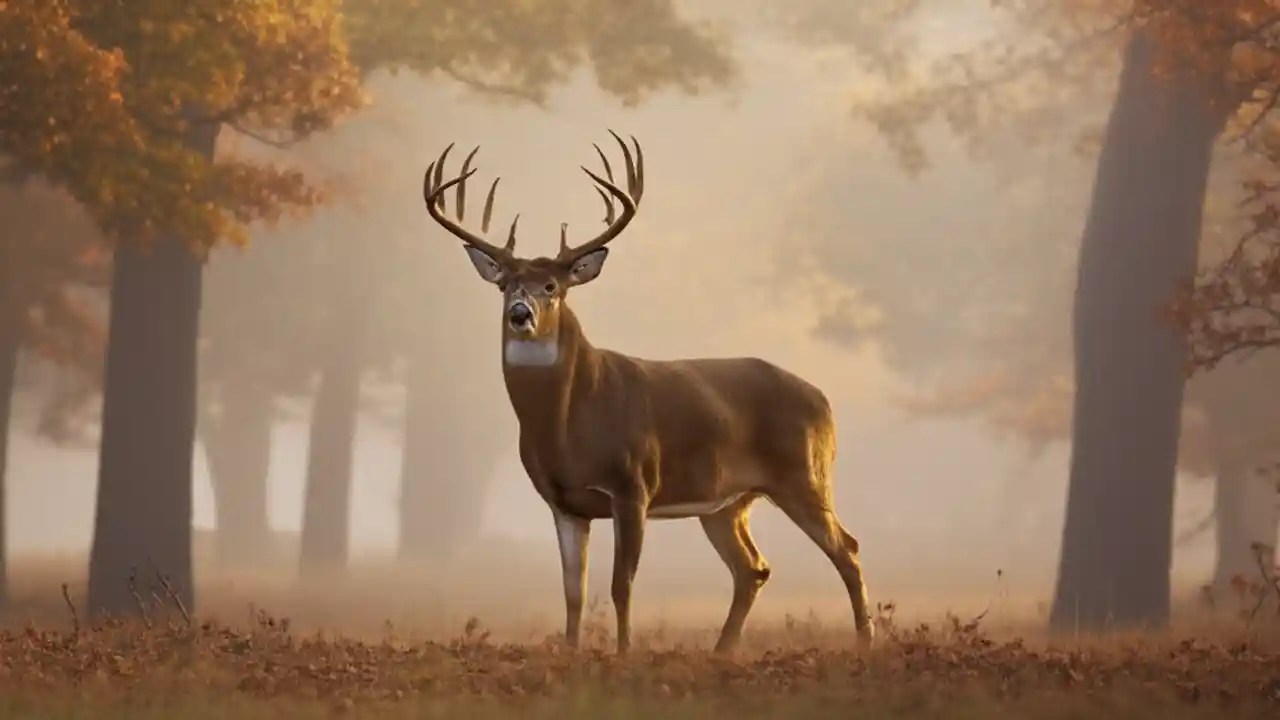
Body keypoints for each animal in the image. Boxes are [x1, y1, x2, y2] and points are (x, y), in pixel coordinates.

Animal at [420, 132, 874, 655]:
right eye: (506, 284)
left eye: (552, 285)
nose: (520, 313)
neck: (567, 424)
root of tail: (825, 401)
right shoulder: (563, 502)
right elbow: (573, 590)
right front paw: (571, 653)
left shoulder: (633, 484)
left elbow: (622, 584)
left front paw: (622, 653)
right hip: (727, 501)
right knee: (753, 568)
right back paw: (721, 652)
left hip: (805, 474)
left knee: (847, 548)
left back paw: (865, 642)